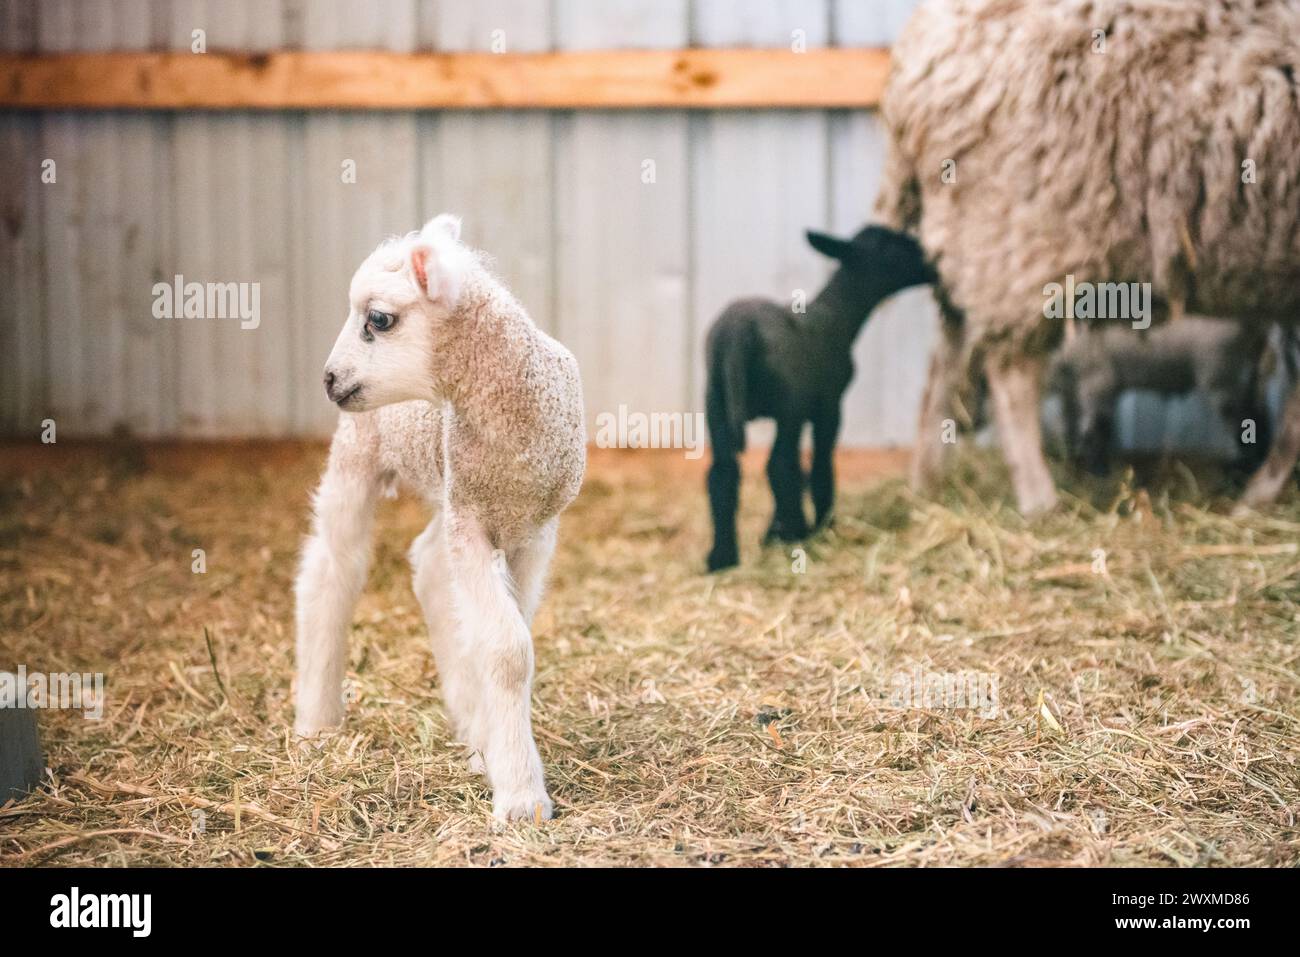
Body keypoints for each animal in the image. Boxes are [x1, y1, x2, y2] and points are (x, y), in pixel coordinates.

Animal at [294, 214, 585, 821]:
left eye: (379, 319)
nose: (328, 379)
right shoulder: (471, 519)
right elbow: (506, 650)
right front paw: (521, 796)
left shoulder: (531, 527)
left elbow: (510, 637)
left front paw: (492, 747)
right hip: (359, 451)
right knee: (331, 569)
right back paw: (315, 722)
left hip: (446, 492)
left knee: (428, 564)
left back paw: (466, 722)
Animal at [705, 225, 934, 571]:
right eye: (894, 248)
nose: (932, 265)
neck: (839, 315)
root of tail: (737, 332)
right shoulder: (829, 406)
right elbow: (821, 465)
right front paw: (823, 525)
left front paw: (775, 532)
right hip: (789, 402)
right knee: (780, 464)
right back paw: (797, 533)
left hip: (714, 402)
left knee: (723, 472)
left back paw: (723, 556)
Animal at [1046, 317, 1272, 474]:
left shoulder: (1098, 386)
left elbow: (1095, 429)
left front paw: (1098, 470)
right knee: (1254, 412)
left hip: (1220, 377)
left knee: (1243, 418)